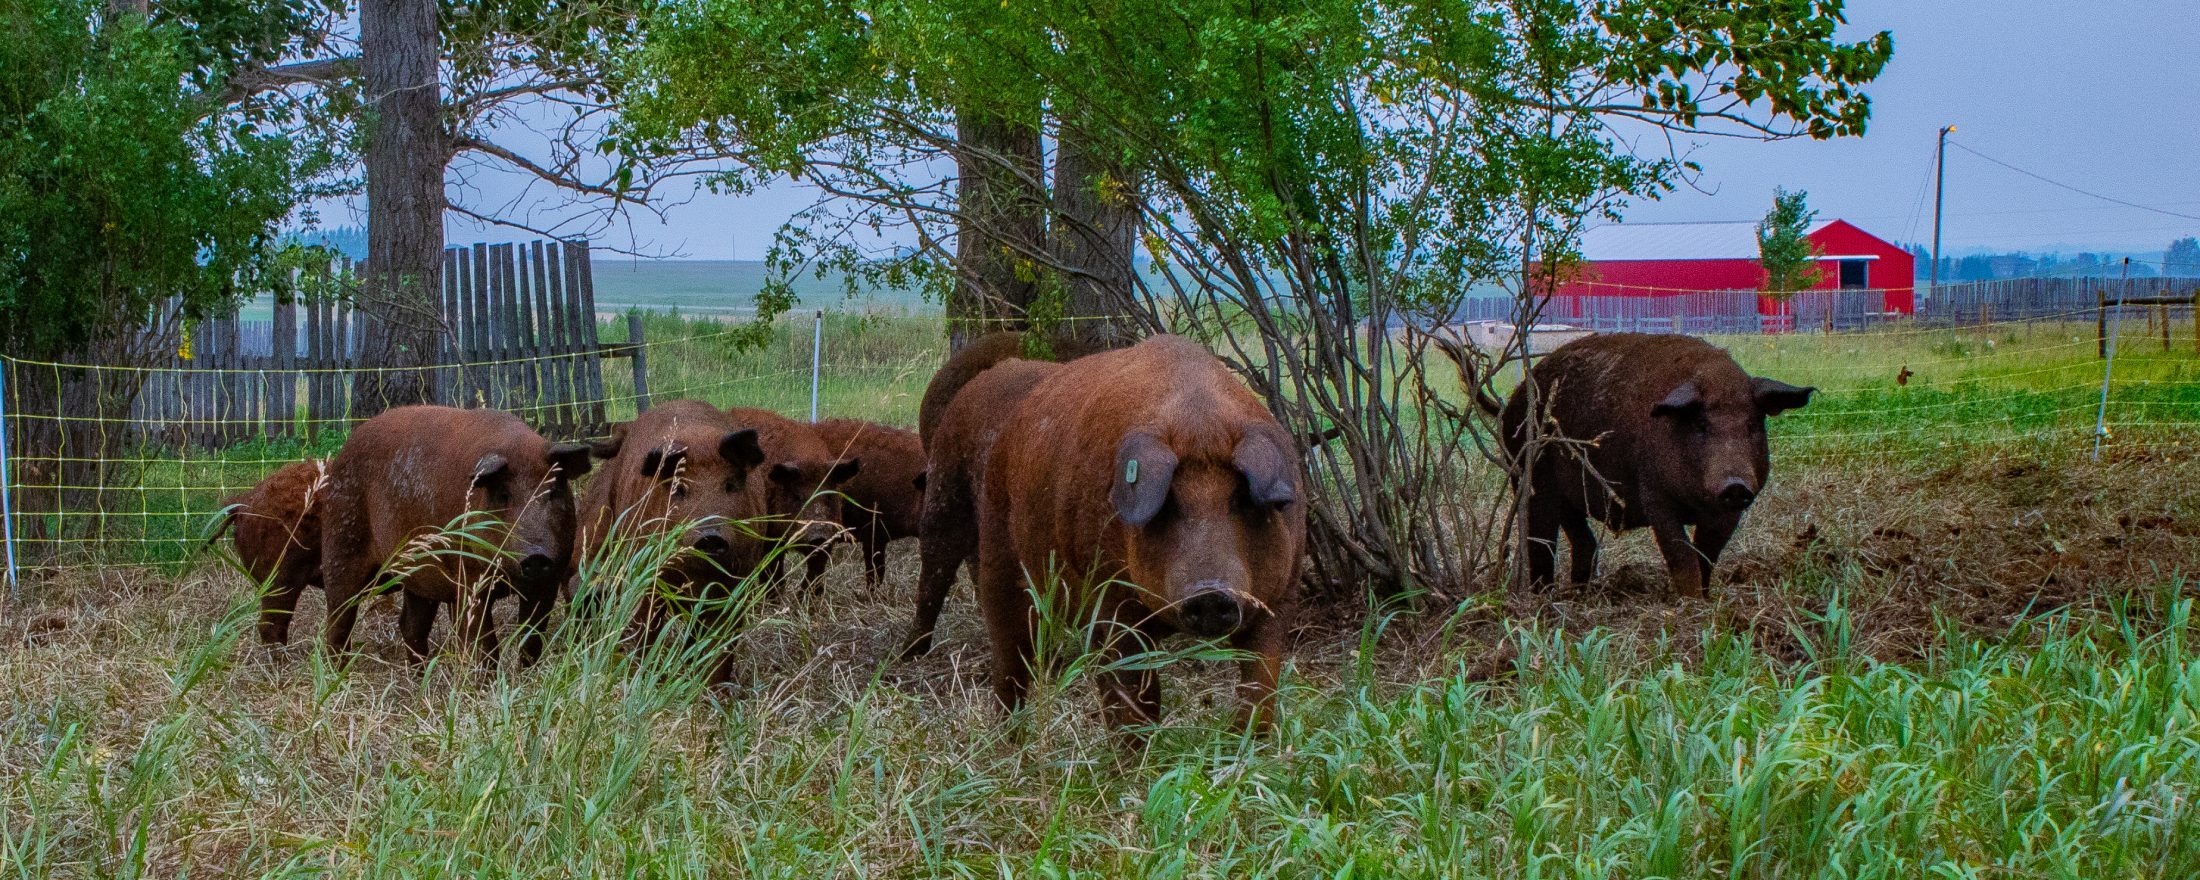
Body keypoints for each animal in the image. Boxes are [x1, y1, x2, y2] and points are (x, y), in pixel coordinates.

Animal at [319, 405, 593, 665]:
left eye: (553, 492)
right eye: (504, 495)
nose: (535, 555)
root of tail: (345, 448)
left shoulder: (550, 579)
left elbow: (531, 642)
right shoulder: (468, 577)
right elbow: (483, 647)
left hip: (420, 576)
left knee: (410, 627)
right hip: (341, 545)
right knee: (338, 621)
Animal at [979, 335, 1306, 732]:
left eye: (1240, 499)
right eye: (1169, 503)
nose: (1210, 593)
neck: (1199, 422)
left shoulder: (1283, 596)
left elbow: (1261, 687)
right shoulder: (1108, 600)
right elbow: (1135, 696)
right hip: (996, 549)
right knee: (1009, 656)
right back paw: (1008, 735)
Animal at [1433, 332, 1814, 598]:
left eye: (1752, 425)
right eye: (1701, 426)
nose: (1734, 484)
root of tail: (1511, 404)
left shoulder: (1729, 511)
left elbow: (1706, 557)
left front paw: (1706, 601)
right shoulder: (1655, 496)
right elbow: (1682, 558)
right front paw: (1690, 605)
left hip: (1570, 497)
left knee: (1584, 543)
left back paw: (1578, 595)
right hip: (1531, 478)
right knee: (1540, 541)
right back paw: (1544, 598)